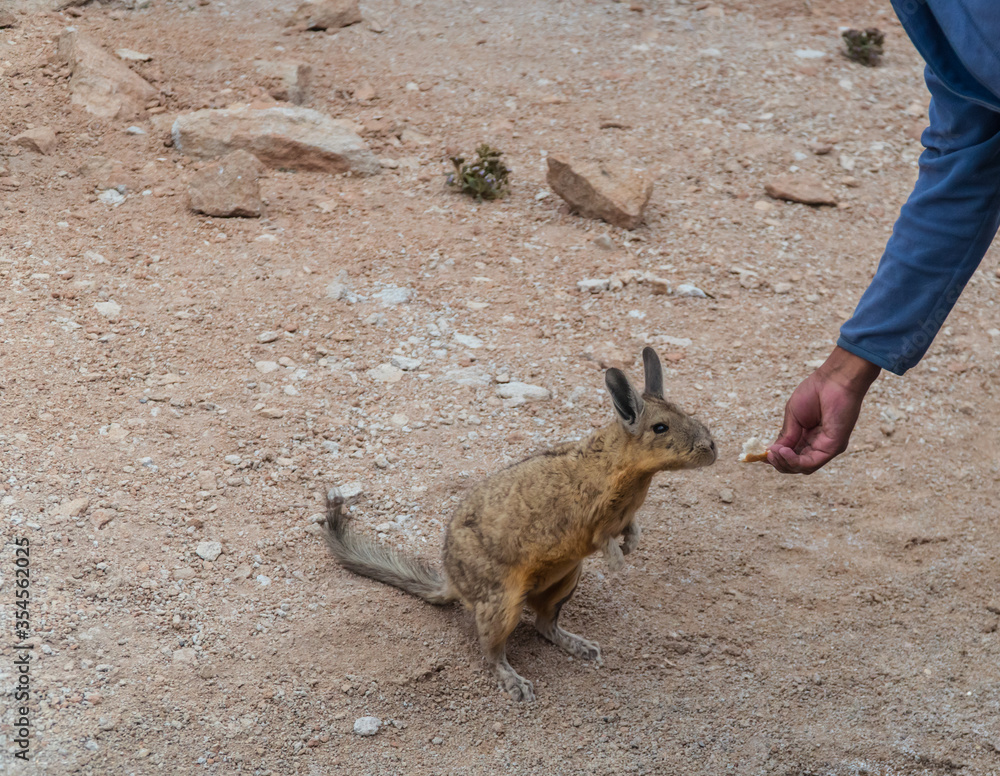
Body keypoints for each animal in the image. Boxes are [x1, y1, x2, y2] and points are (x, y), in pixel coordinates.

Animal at [322, 346, 716, 701]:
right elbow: (604, 541)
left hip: (564, 581)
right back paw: (517, 685)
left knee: (545, 625)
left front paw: (631, 546)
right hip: (503, 603)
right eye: (660, 427)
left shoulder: (626, 517)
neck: (629, 472)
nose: (712, 449)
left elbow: (633, 529)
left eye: (686, 412)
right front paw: (620, 563)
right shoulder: (593, 522)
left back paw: (583, 647)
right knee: (492, 651)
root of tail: (452, 582)